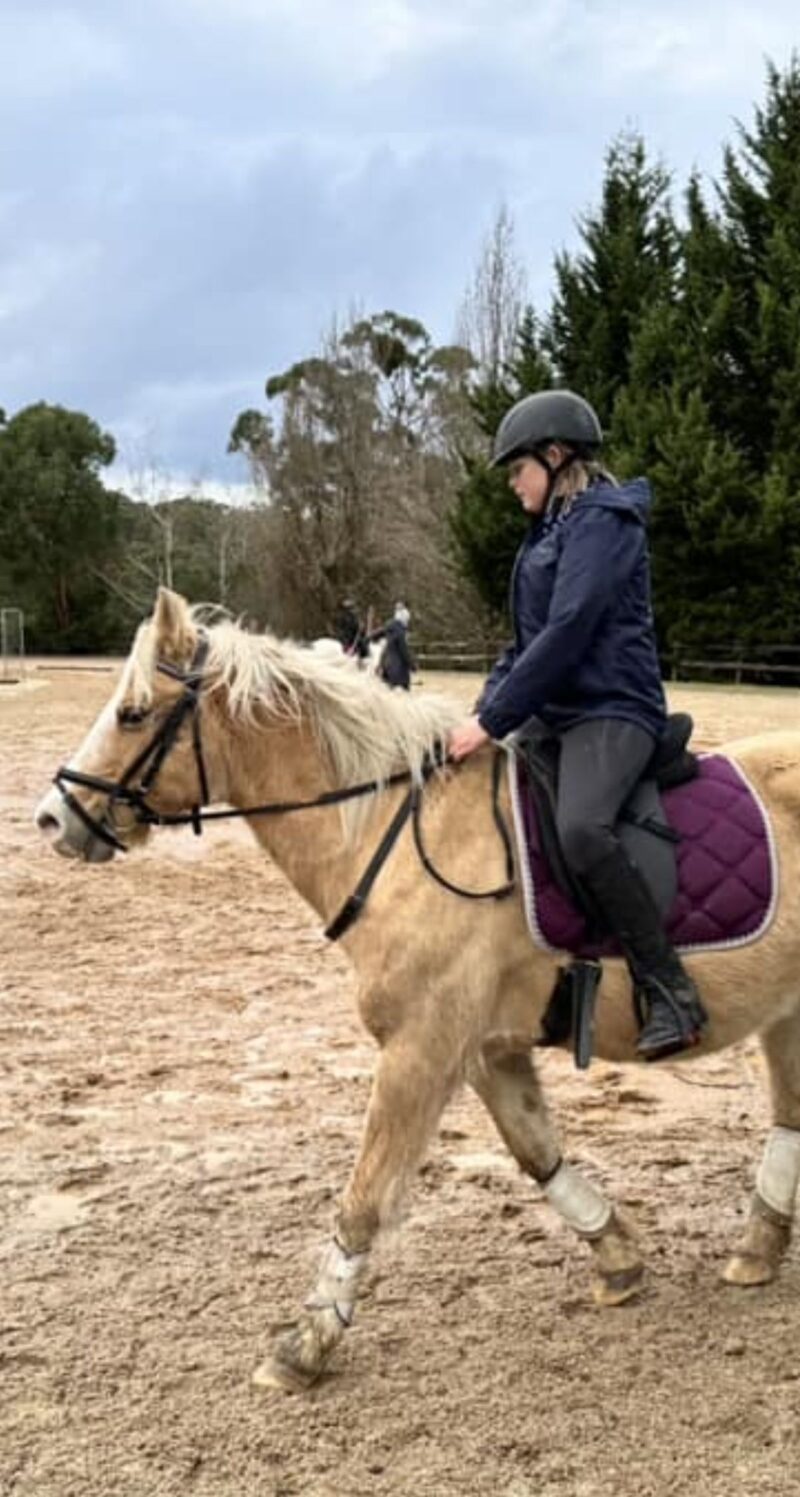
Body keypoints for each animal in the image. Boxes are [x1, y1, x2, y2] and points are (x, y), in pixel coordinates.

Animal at [35, 587, 800, 1392]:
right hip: (786, 1011)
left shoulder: (419, 1049)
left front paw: (306, 1343)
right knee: (789, 1117)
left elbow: (364, 1197)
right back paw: (757, 1250)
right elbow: (538, 1153)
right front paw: (618, 1256)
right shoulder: (486, 1049)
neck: (394, 832)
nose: (52, 818)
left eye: (132, 713)